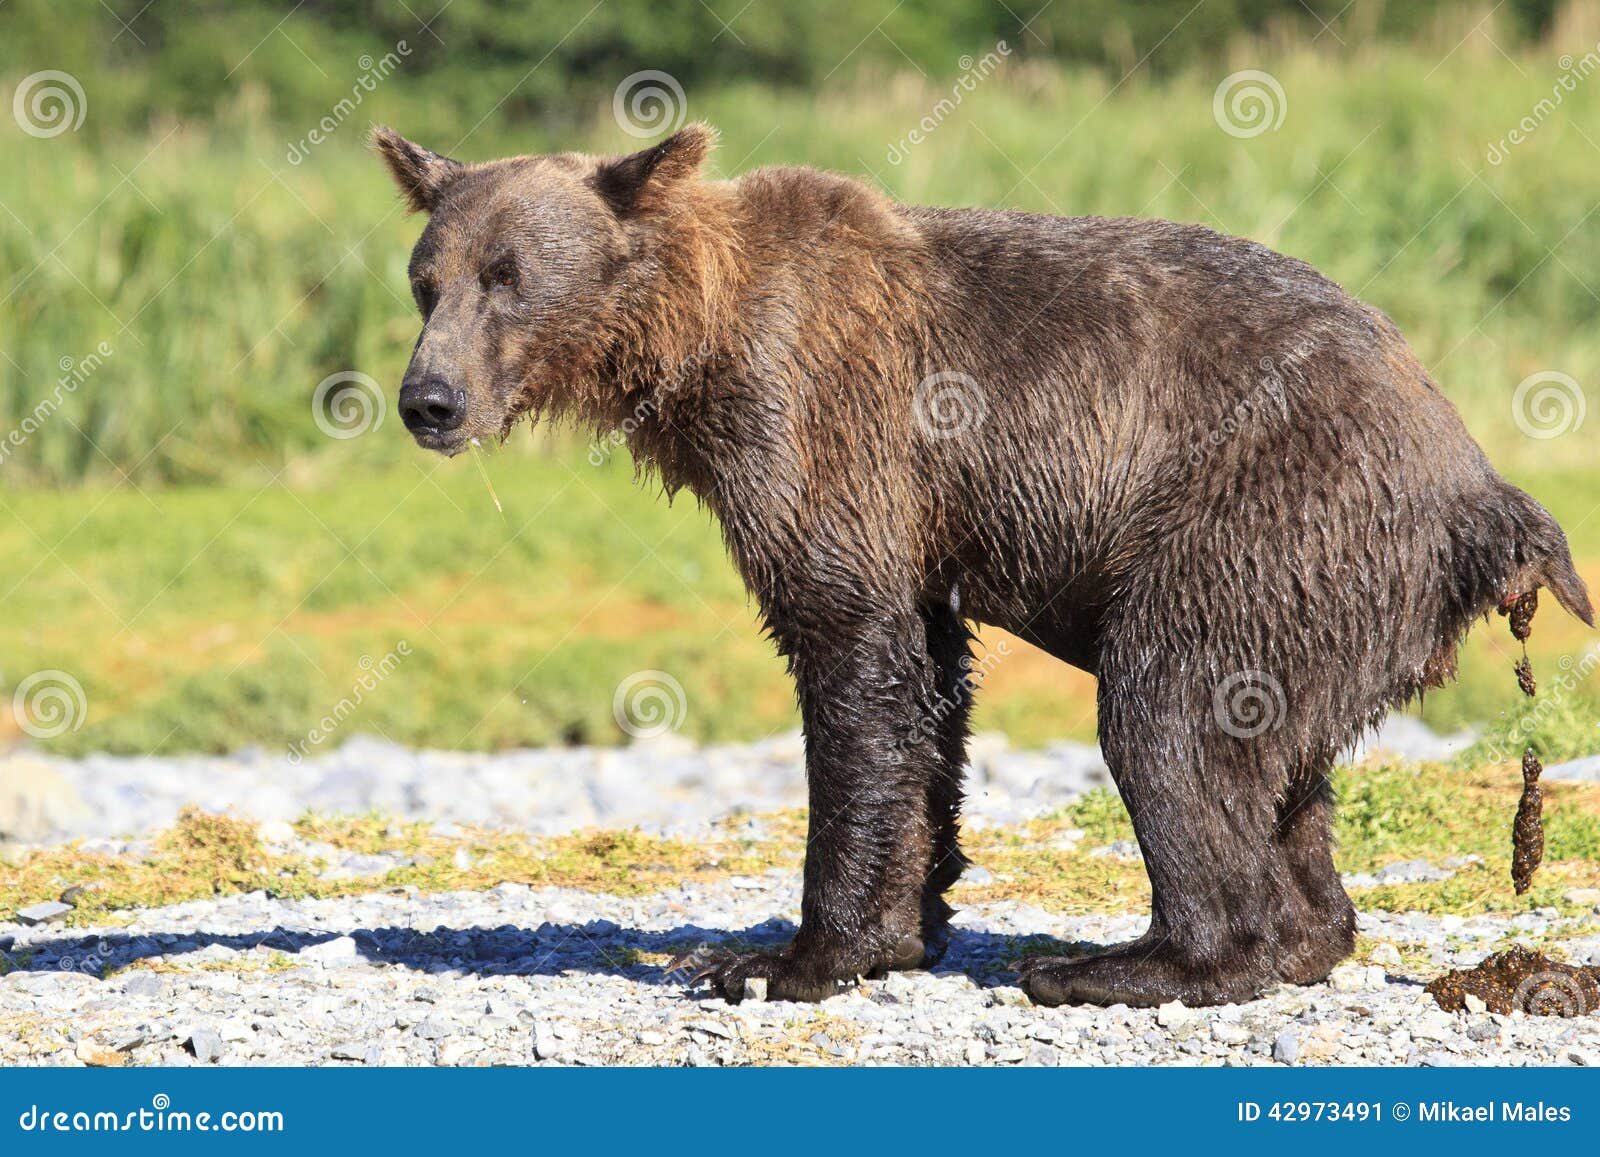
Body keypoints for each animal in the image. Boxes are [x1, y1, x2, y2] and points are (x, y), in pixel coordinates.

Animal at [371, 122, 1593, 1006]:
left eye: (509, 274)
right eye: (425, 279)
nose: (428, 399)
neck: (689, 344)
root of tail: (1480, 486)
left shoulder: (822, 426)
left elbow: (849, 657)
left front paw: (783, 955)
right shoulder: (916, 522)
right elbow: (921, 684)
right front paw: (901, 927)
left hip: (1268, 516)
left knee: (1167, 707)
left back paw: (1128, 962)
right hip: (1325, 592)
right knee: (1275, 755)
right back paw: (1303, 933)